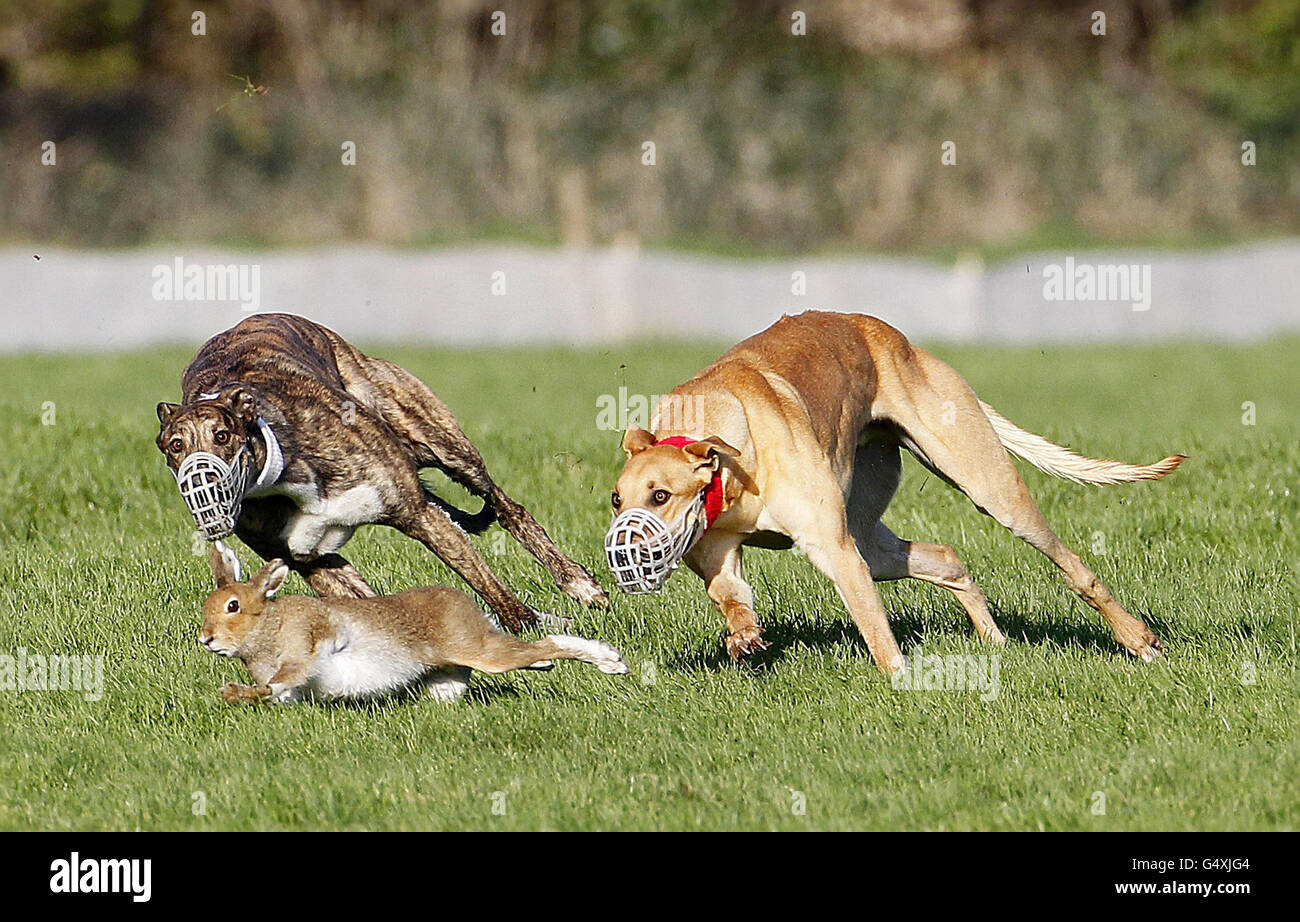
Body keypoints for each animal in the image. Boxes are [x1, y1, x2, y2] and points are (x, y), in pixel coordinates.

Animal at [198, 542, 627, 704]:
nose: (206, 639)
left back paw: (611, 662)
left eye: (233, 606)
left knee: (549, 642)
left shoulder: (306, 646)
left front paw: (235, 691)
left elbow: (285, 675)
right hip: (448, 679)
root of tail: (462, 601)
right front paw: (240, 693)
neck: (266, 627)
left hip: (479, 651)